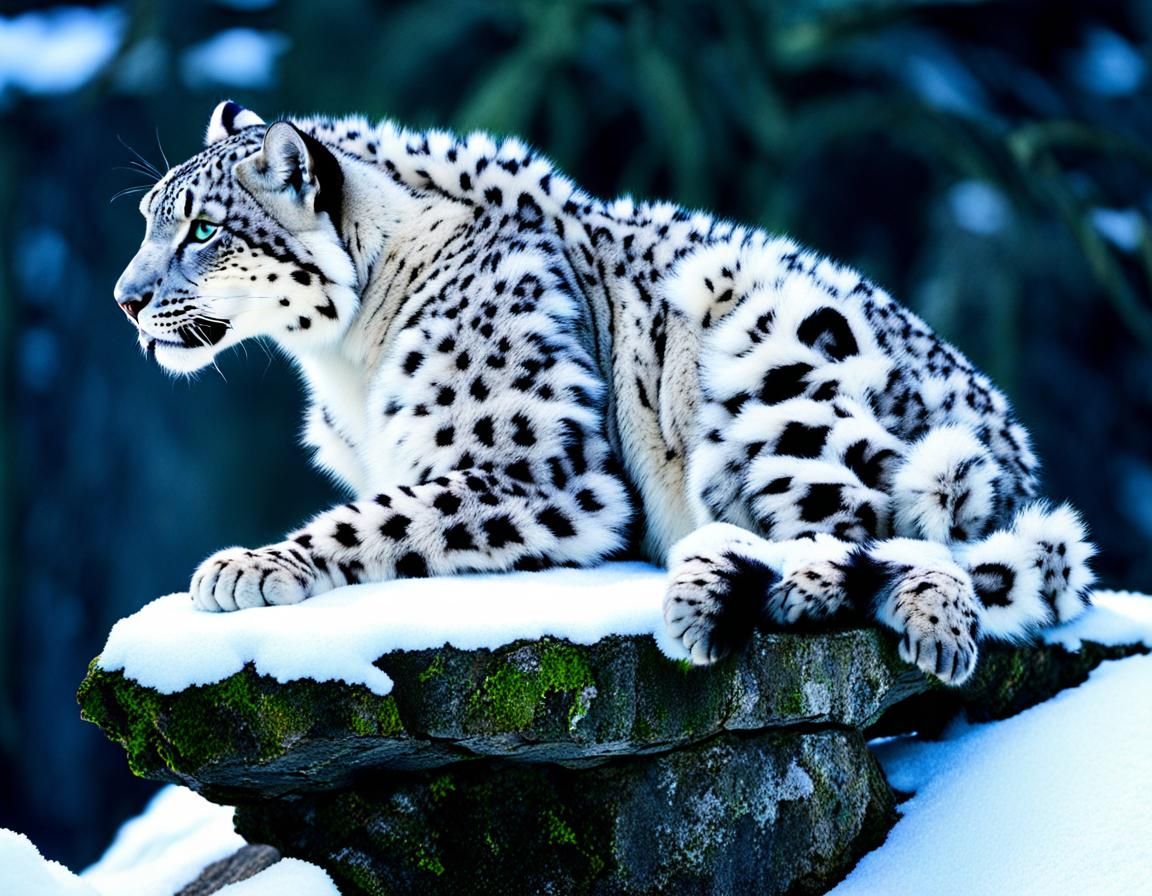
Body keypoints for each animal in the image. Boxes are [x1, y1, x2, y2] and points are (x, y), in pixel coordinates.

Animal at [114, 100, 1096, 685]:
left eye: (202, 229)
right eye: (150, 218)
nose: (125, 297)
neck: (342, 362)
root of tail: (1013, 455)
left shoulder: (542, 472)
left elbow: (383, 517)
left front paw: (248, 566)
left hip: (777, 349)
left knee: (889, 533)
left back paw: (735, 593)